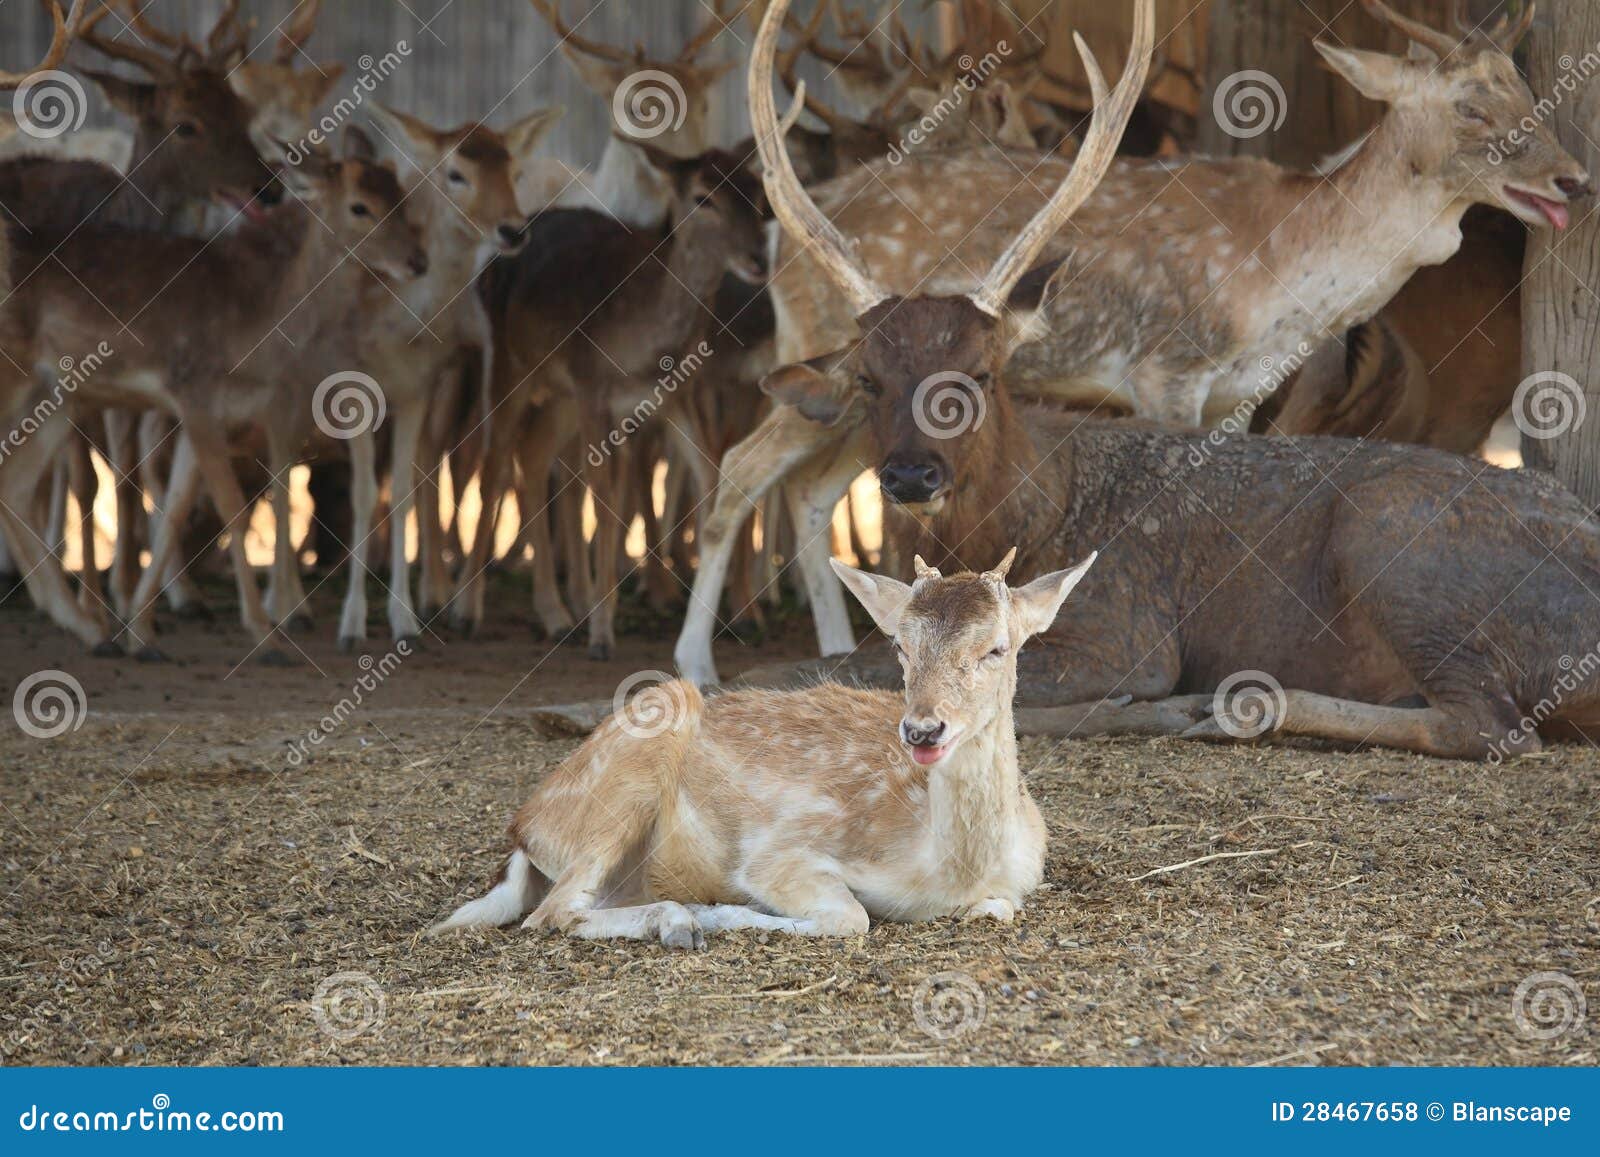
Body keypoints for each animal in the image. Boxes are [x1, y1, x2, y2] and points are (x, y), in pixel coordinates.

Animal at [429, 547, 1090, 947]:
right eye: (900, 647)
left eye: (997, 648)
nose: (923, 731)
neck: (945, 871)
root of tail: (525, 827)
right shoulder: (780, 851)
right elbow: (850, 916)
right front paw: (724, 913)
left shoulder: (1018, 882)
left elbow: (998, 908)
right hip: (622, 784)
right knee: (552, 912)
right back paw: (680, 920)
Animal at [733, 0, 1600, 762]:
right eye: (870, 376)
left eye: (981, 370)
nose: (913, 474)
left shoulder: (1128, 627)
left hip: (1392, 537)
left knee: (1489, 725)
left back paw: (1238, 706)